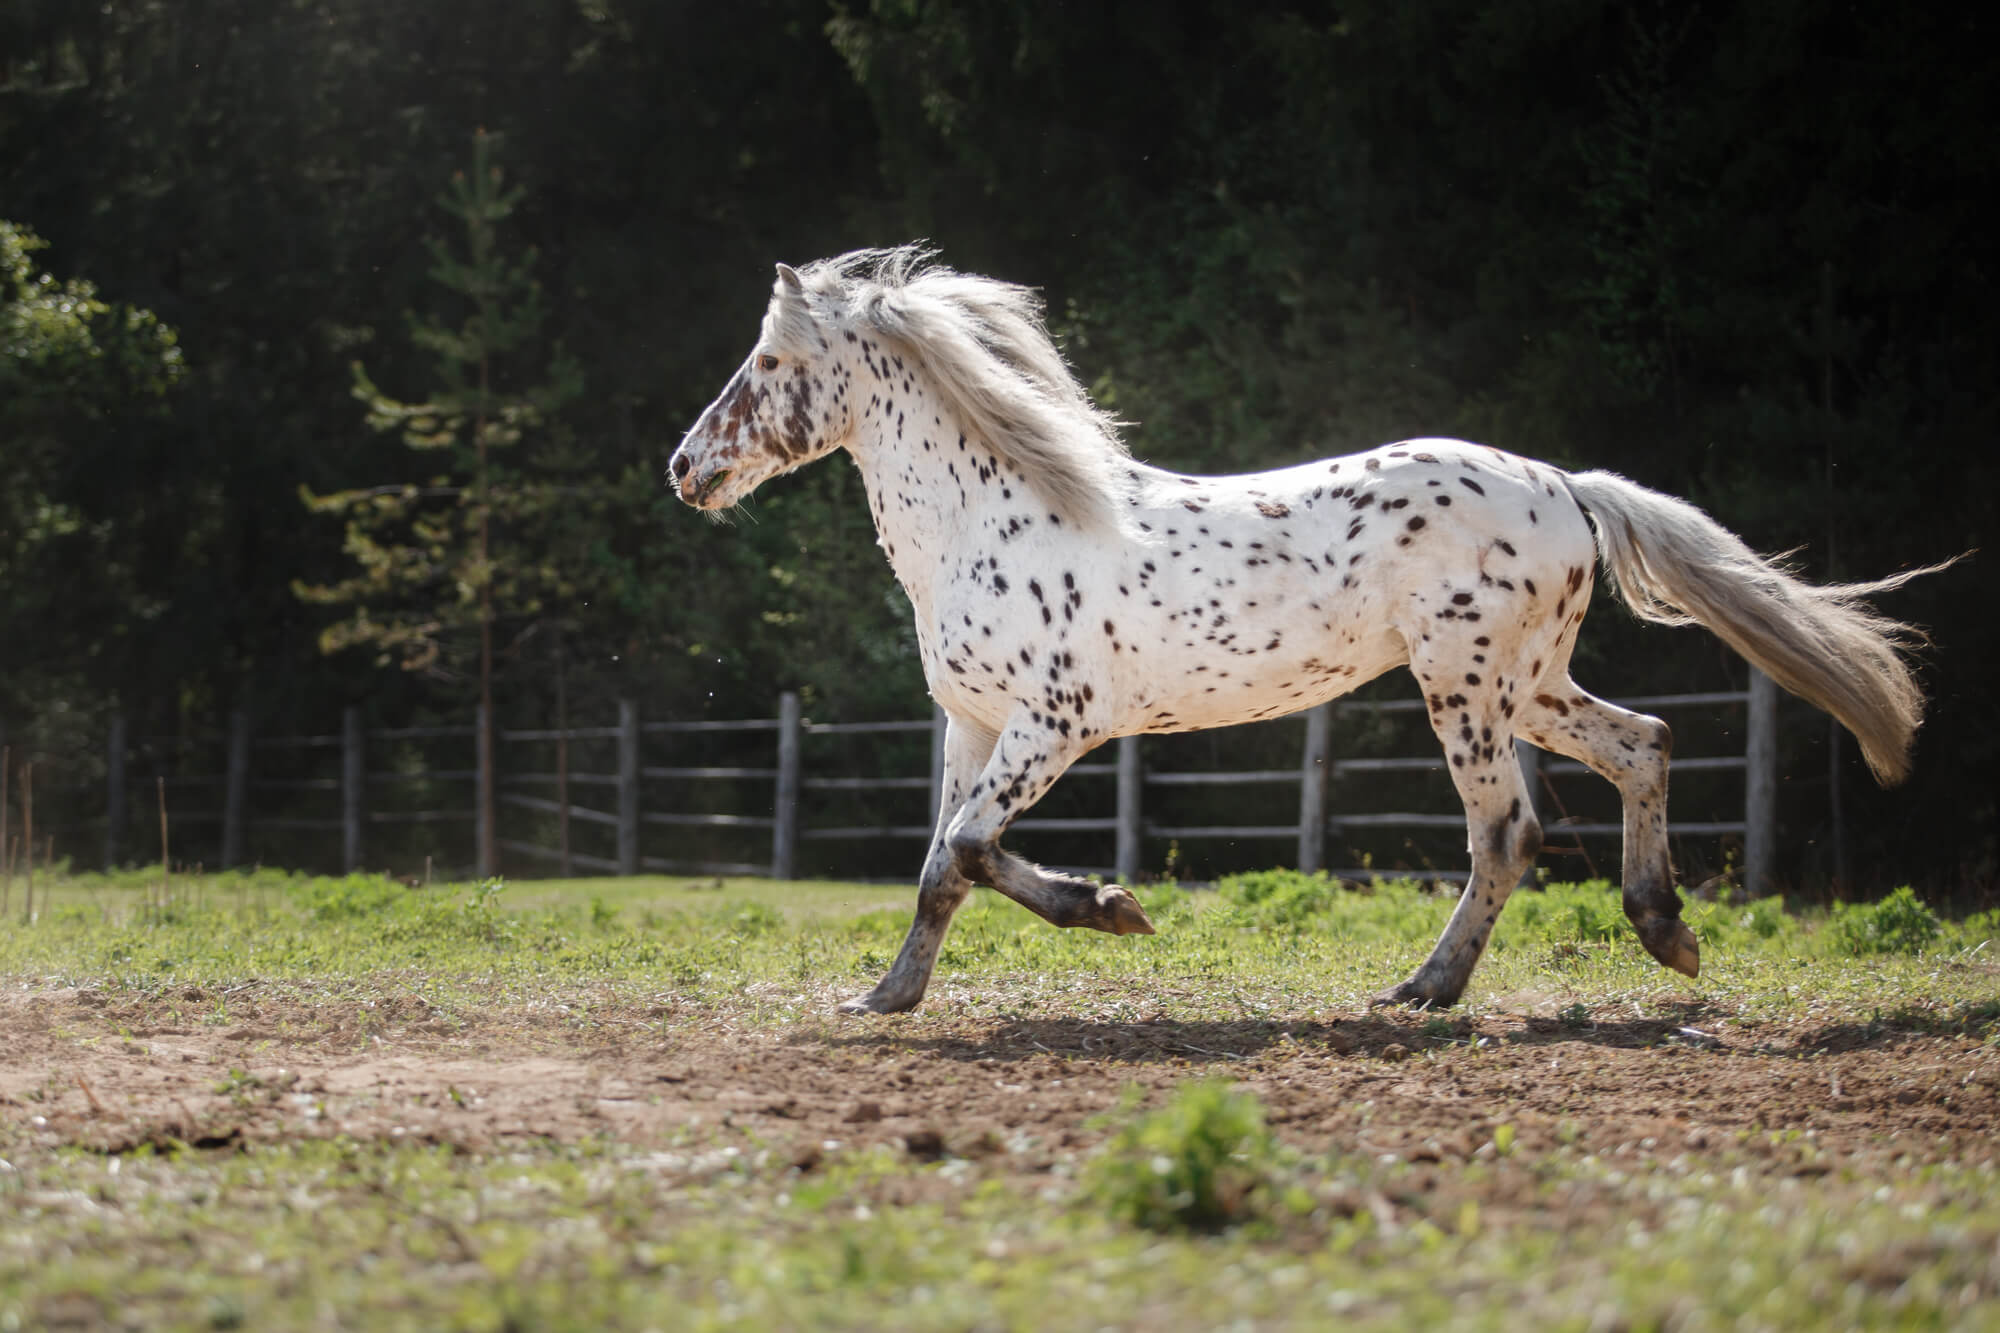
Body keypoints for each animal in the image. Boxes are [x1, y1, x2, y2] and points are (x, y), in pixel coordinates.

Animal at [669, 245, 1946, 1013]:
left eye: (769, 360)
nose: (684, 468)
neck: (994, 520)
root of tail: (1563, 486)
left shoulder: (1056, 723)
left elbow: (971, 851)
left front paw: (1114, 909)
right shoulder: (973, 725)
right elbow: (942, 864)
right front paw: (888, 995)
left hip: (1463, 688)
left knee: (1507, 831)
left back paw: (1426, 989)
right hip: (1527, 683)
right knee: (1643, 743)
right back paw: (1663, 930)